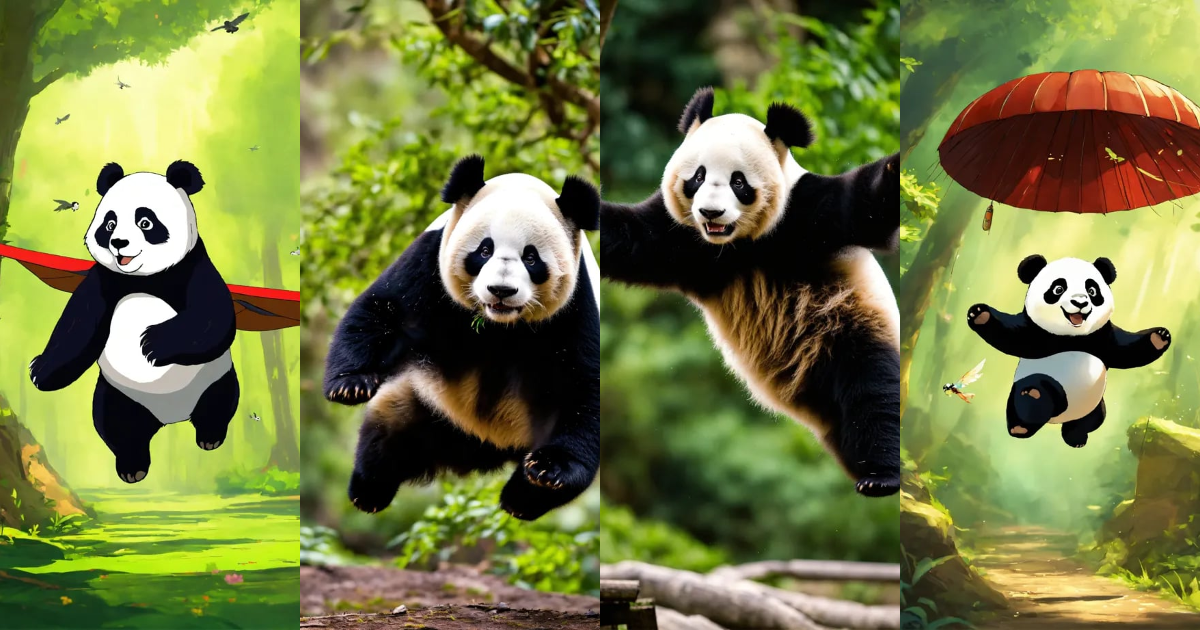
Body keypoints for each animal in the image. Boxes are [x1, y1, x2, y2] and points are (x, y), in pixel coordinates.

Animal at [28, 161, 239, 483]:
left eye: (146, 222)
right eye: (109, 224)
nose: (118, 244)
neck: (143, 278)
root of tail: (172, 416)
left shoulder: (192, 268)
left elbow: (213, 319)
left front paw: (151, 343)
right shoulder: (104, 281)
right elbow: (77, 327)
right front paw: (40, 371)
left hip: (214, 377)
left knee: (220, 401)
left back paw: (209, 436)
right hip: (120, 395)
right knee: (117, 425)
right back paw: (132, 467)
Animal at [323, 155, 600, 521]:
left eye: (531, 257)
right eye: (484, 250)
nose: (501, 290)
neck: (499, 326)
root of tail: (486, 445)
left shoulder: (574, 307)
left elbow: (581, 384)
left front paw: (551, 470)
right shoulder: (429, 265)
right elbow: (382, 309)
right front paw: (350, 385)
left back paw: (523, 495)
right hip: (427, 403)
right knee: (389, 429)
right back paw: (369, 491)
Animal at [600, 87, 902, 496]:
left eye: (738, 182)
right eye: (697, 177)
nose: (710, 213)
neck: (738, 245)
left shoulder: (810, 212)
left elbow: (867, 206)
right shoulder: (677, 237)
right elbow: (627, 238)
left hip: (850, 328)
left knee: (874, 393)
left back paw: (882, 476)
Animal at [967, 255, 1171, 446]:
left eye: (1092, 290)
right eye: (1058, 289)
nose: (1080, 302)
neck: (1073, 338)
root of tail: (1058, 418)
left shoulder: (1103, 337)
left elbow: (1127, 351)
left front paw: (1160, 337)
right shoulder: (1035, 332)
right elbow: (1009, 335)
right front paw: (980, 314)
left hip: (1094, 404)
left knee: (1093, 419)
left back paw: (1075, 437)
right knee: (1037, 395)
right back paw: (1024, 419)